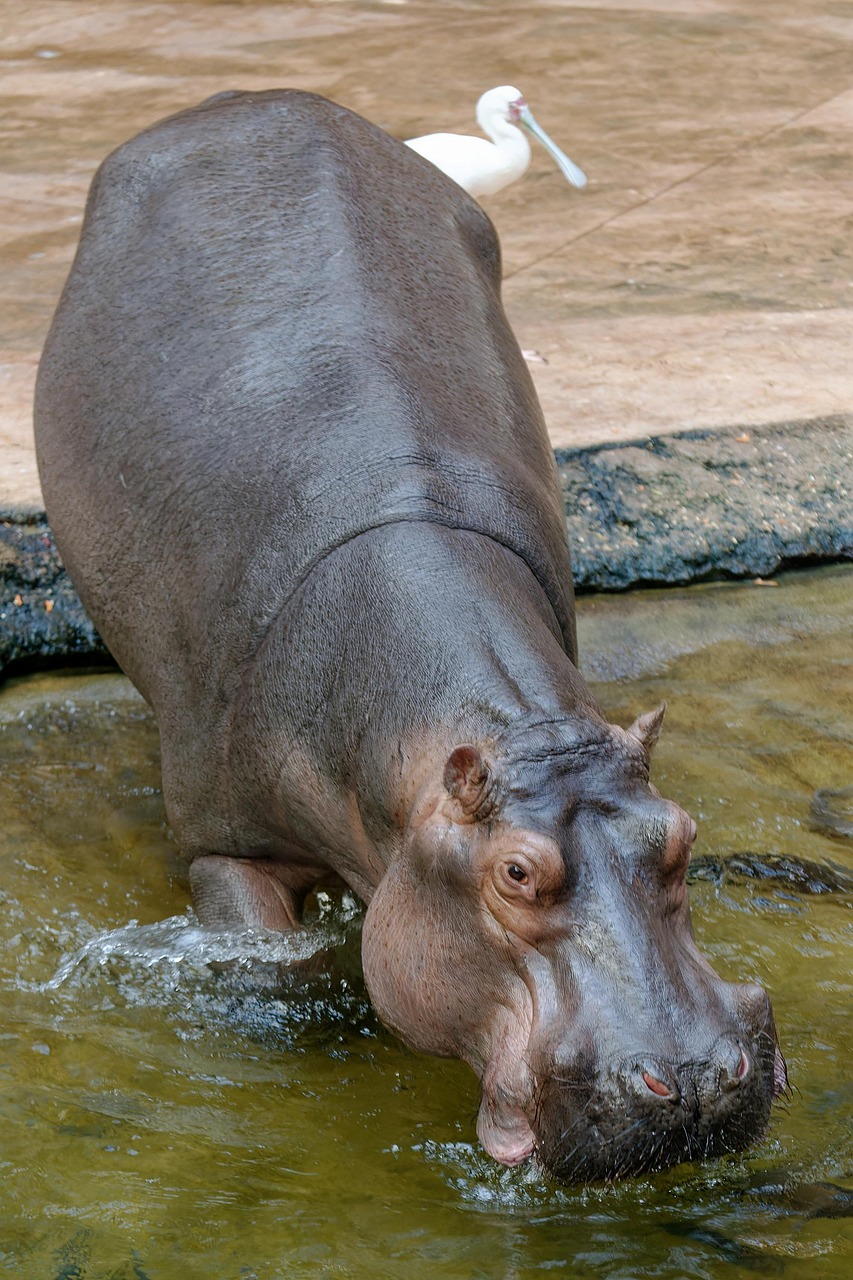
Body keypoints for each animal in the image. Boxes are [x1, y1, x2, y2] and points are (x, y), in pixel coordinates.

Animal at [34, 89, 786, 1181]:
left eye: (682, 835)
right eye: (513, 872)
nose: (690, 1077)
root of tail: (245, 100)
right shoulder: (226, 843)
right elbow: (274, 964)